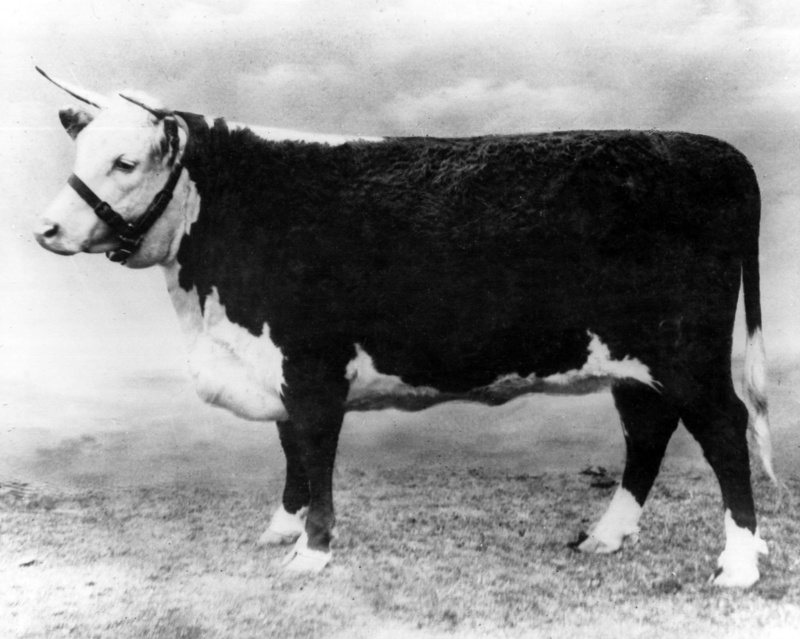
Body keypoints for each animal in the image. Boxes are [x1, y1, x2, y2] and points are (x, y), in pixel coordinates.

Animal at [33, 68, 777, 587]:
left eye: (126, 163)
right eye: (81, 155)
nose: (48, 230)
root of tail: (716, 151)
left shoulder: (311, 364)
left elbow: (315, 454)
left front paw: (312, 551)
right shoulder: (273, 361)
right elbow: (290, 452)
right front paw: (281, 527)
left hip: (687, 351)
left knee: (725, 430)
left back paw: (738, 563)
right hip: (634, 361)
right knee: (648, 432)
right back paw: (608, 534)